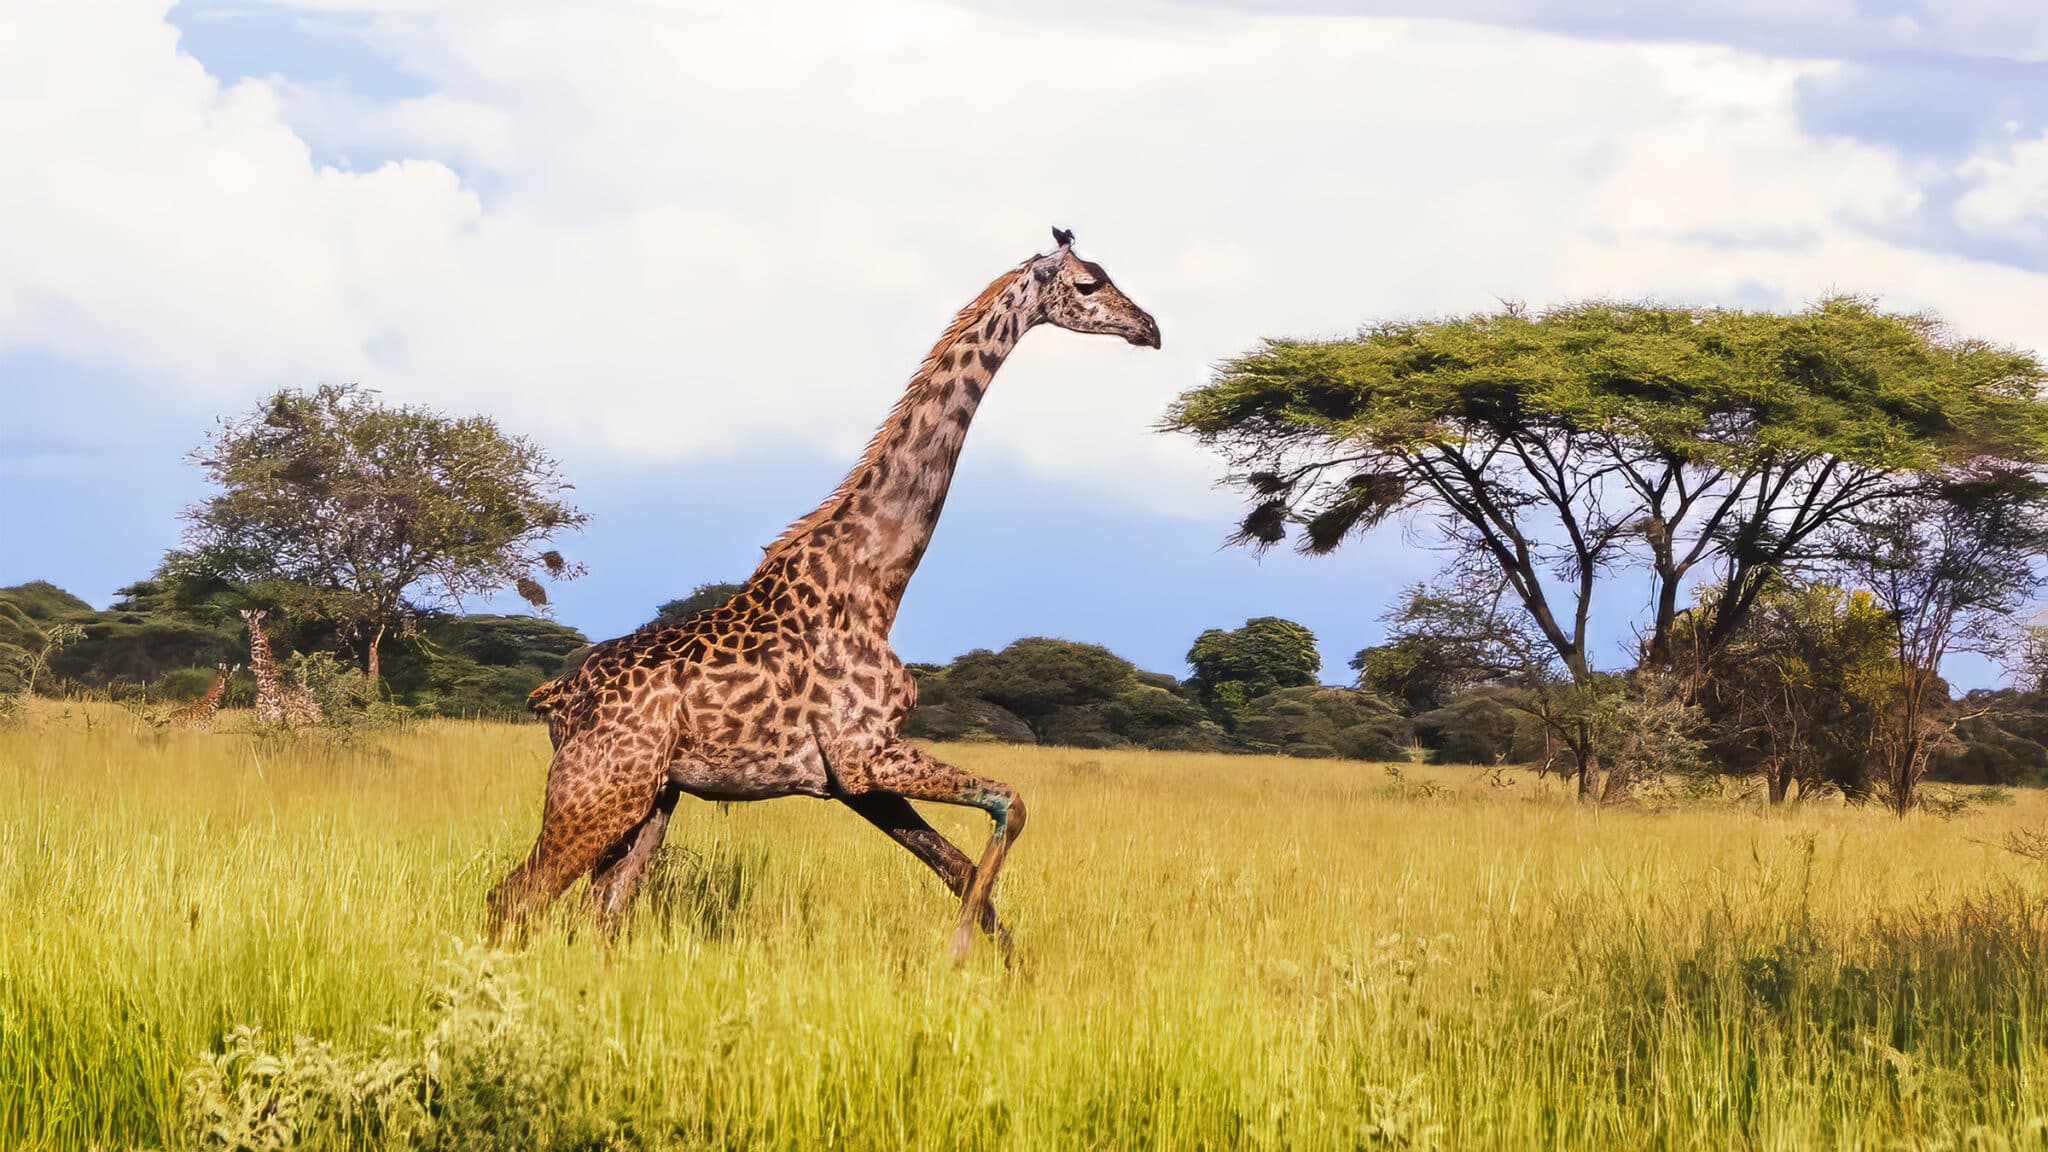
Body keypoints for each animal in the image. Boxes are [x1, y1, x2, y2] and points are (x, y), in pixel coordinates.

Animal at [494, 229, 1161, 957]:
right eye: (1090, 283)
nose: (1149, 328)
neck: (873, 583)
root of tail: (557, 695)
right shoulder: (866, 755)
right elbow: (1011, 803)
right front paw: (959, 954)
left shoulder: (852, 780)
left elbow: (959, 864)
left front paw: (1008, 967)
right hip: (598, 788)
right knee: (515, 897)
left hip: (651, 798)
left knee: (601, 912)